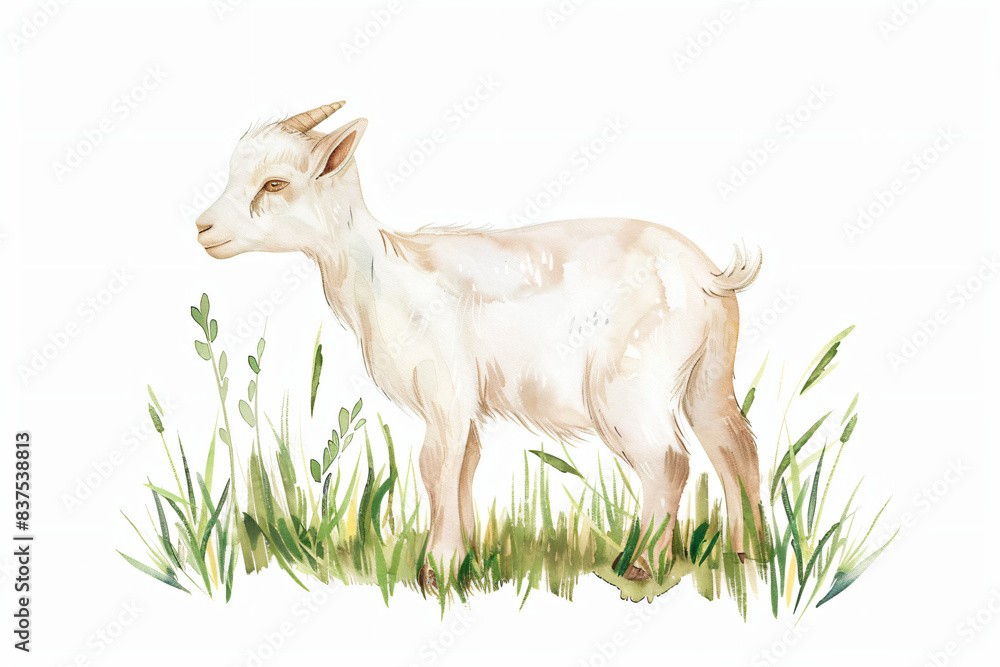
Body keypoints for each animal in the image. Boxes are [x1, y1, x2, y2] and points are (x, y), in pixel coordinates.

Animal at [196, 101, 763, 584]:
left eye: (274, 183)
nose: (203, 227)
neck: (385, 270)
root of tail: (711, 276)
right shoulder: (462, 401)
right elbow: (464, 464)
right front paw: (466, 559)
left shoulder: (445, 389)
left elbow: (435, 465)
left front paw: (437, 569)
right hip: (709, 374)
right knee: (733, 444)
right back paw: (747, 552)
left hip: (627, 383)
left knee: (667, 460)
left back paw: (643, 565)